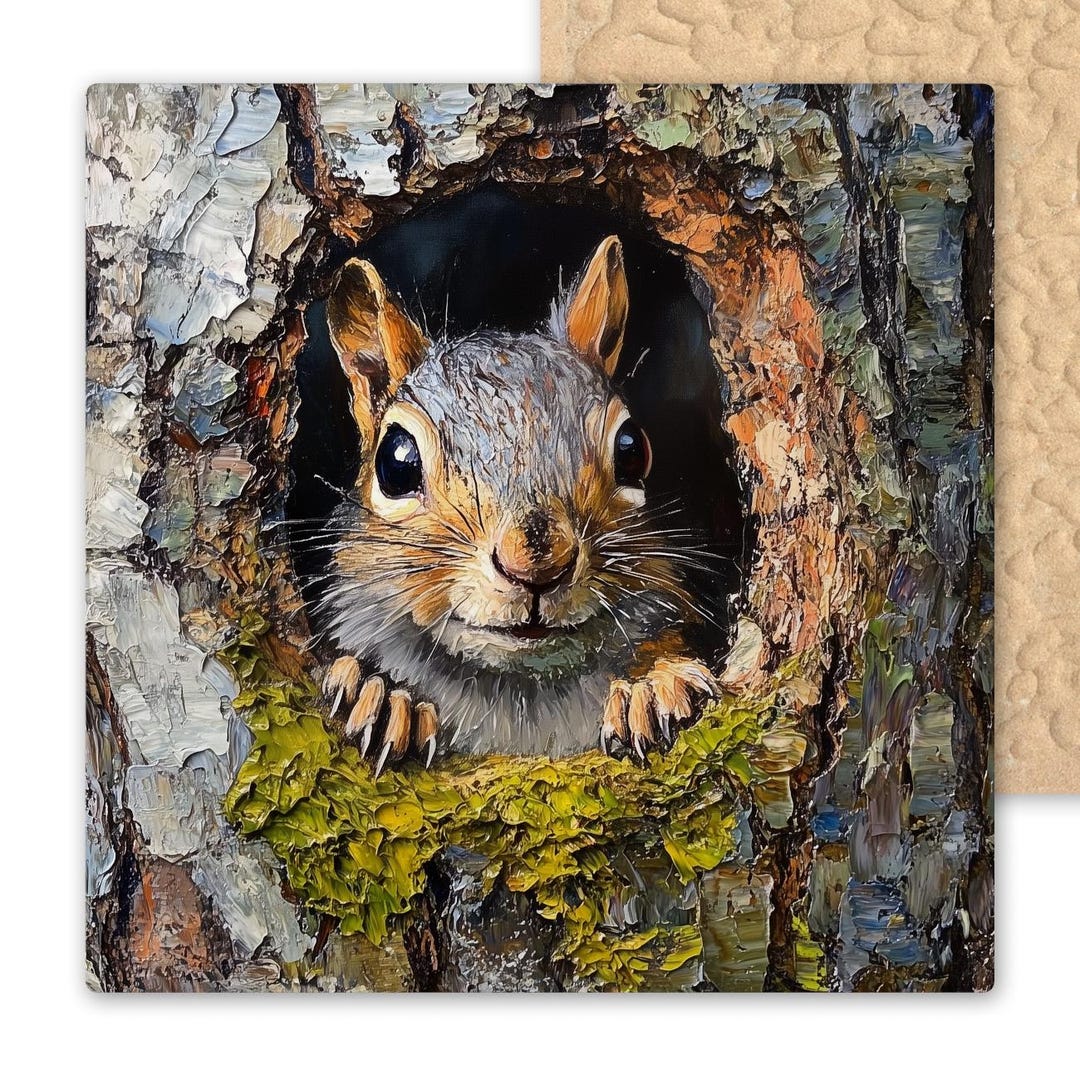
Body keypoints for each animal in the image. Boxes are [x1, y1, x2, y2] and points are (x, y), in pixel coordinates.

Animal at [316, 235, 720, 773]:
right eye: (395, 462)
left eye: (632, 448)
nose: (536, 566)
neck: (521, 687)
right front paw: (380, 696)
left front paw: (654, 686)